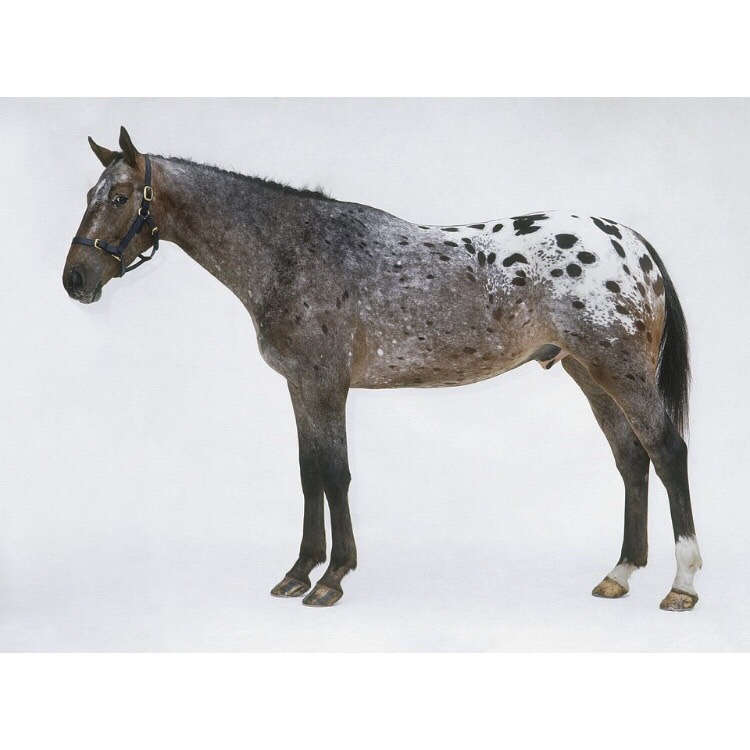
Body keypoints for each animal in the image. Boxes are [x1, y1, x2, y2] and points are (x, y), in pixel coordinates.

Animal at [62, 127, 702, 610]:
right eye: (90, 192)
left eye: (120, 197)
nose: (75, 279)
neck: (293, 250)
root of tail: (633, 244)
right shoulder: (301, 387)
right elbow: (309, 474)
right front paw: (299, 571)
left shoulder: (326, 385)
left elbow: (336, 475)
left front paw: (332, 578)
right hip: (589, 375)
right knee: (632, 459)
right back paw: (620, 573)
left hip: (620, 373)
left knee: (668, 452)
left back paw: (682, 585)